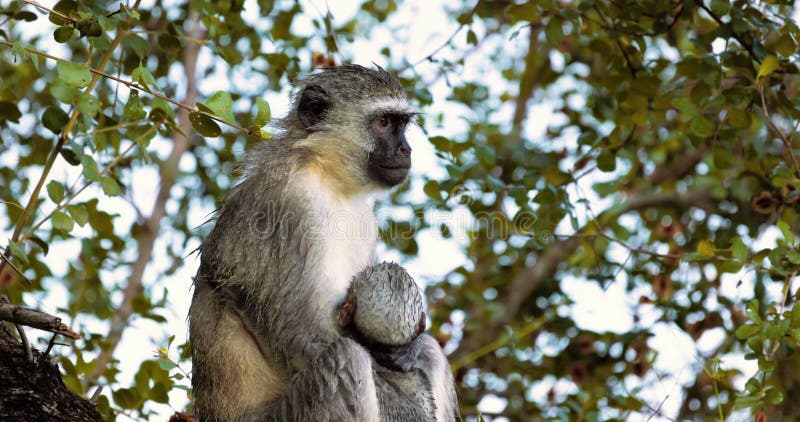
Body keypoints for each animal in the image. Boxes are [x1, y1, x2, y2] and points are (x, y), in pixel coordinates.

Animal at [189, 64, 458, 421]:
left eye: (402, 125)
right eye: (384, 123)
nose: (406, 150)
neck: (329, 176)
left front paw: (409, 349)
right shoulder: (286, 208)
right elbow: (302, 337)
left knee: (429, 350)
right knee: (347, 357)